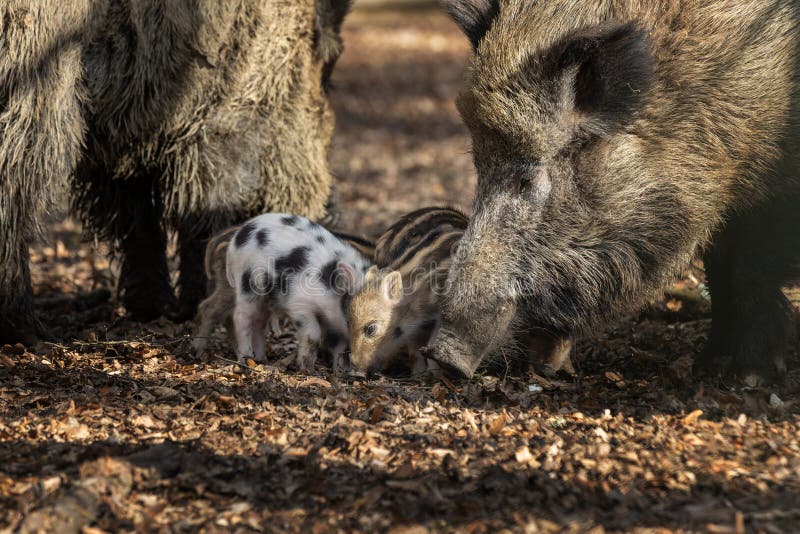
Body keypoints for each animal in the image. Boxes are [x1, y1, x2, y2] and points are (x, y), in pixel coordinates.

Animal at [0, 0, 352, 344]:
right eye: (326, 64)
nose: (333, 215)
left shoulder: (129, 132)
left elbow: (136, 213)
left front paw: (154, 310)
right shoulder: (217, 121)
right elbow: (204, 208)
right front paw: (193, 307)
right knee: (17, 176)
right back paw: (29, 334)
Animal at [427, 0, 800, 385]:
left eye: (528, 179)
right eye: (479, 167)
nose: (440, 353)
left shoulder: (769, 197)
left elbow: (747, 271)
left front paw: (748, 377)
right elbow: (719, 271)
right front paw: (708, 365)